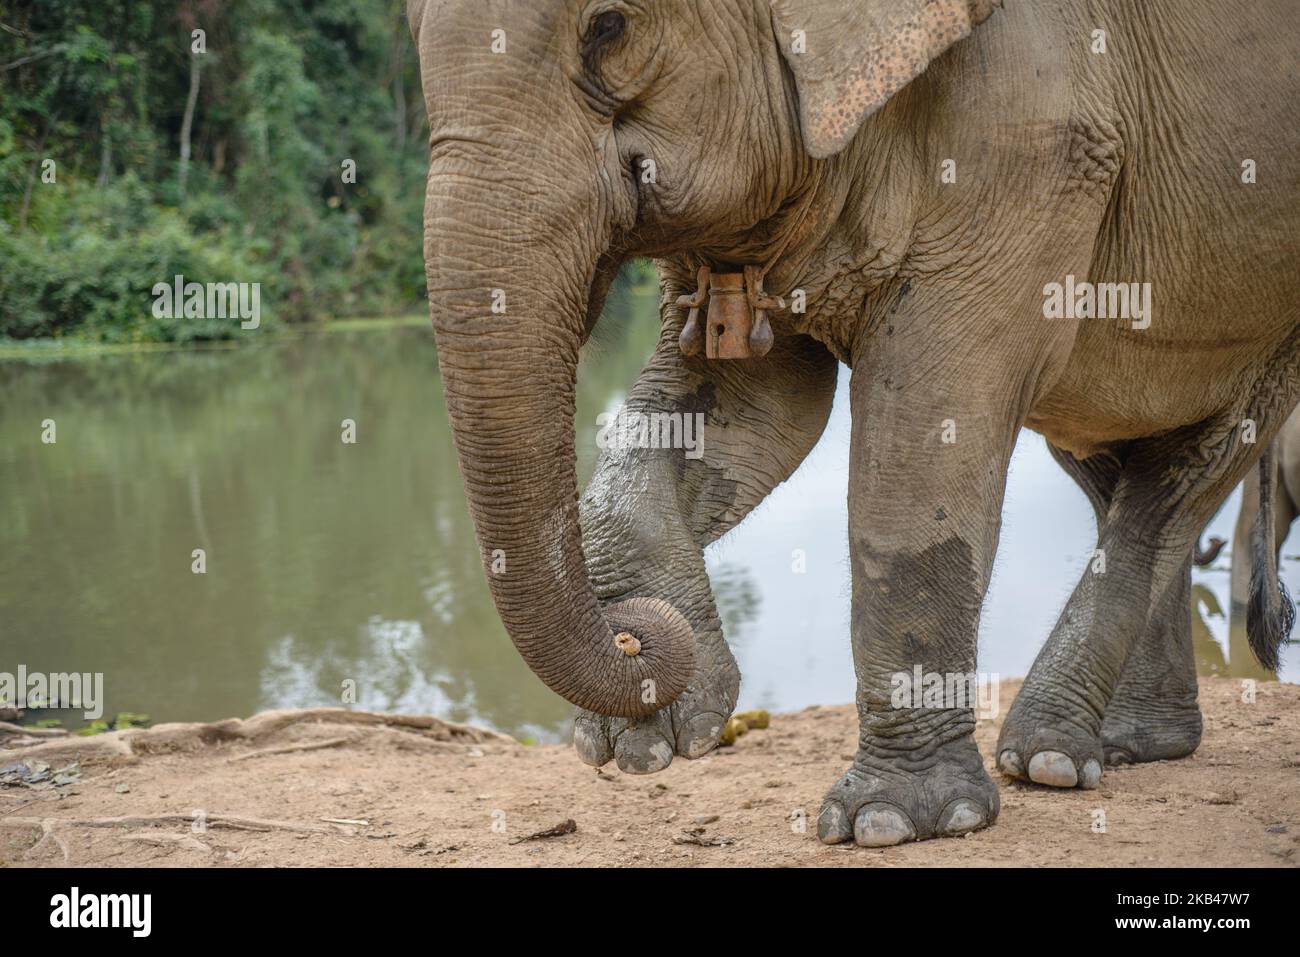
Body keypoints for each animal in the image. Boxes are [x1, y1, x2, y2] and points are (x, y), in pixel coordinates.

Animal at [408, 0, 1300, 847]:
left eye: (609, 28)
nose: (631, 639)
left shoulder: (1040, 127)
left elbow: (925, 425)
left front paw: (897, 820)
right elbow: (757, 404)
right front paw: (653, 734)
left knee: (1188, 474)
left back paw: (1045, 757)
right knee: (1112, 465)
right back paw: (1123, 748)